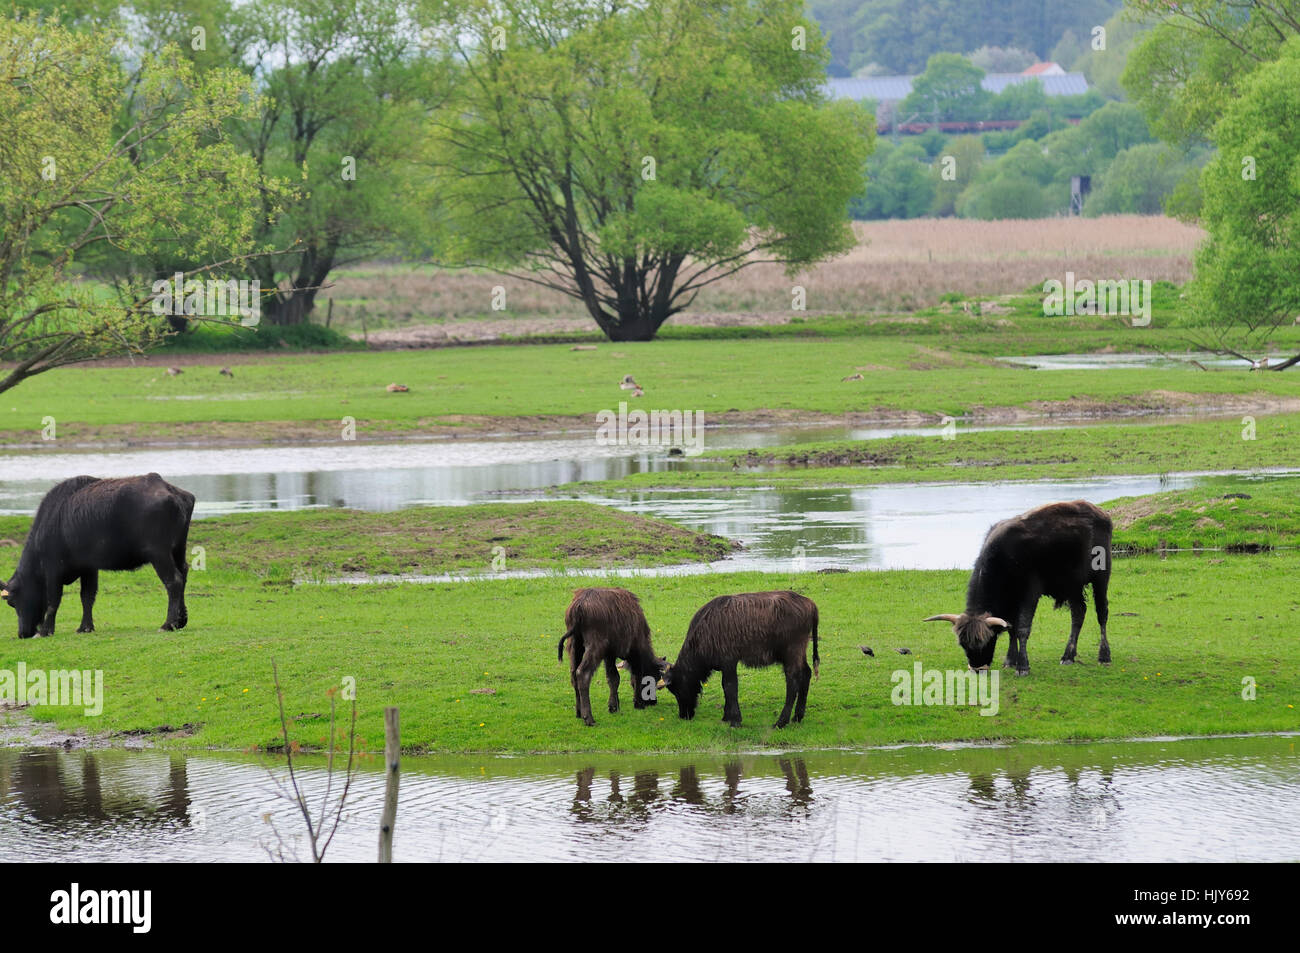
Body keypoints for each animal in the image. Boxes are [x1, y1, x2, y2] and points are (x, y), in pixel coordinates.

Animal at [1, 474, 196, 639]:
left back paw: (168, 624)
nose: (23, 633)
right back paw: (181, 620)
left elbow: (53, 599)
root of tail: (172, 492)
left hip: (158, 553)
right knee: (184, 573)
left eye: (12, 601)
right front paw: (85, 627)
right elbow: (87, 596)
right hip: (178, 549)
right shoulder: (89, 567)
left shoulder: (52, 568)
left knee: (173, 581)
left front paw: (46, 631)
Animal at [558, 587, 666, 726]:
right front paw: (638, 703)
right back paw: (588, 718)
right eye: (655, 677)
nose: (653, 701)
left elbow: (613, 678)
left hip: (575, 646)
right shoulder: (635, 652)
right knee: (582, 673)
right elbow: (636, 675)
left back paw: (579, 712)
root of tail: (579, 605)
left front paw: (614, 706)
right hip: (595, 647)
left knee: (573, 674)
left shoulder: (609, 655)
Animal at [660, 590, 820, 729]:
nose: (683, 715)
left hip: (791, 653)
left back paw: (781, 722)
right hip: (800, 652)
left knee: (792, 682)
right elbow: (725, 688)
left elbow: (730, 687)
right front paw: (726, 716)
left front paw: (735, 720)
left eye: (677, 690)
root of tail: (810, 604)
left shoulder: (729, 661)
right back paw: (797, 716)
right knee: (806, 673)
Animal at [923, 500, 1112, 676]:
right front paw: (1010, 660)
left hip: (1101, 578)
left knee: (1102, 614)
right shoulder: (1011, 600)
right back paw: (1068, 656)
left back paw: (1104, 656)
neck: (1005, 558)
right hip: (1072, 585)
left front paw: (1023, 666)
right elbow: (1011, 628)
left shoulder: (1030, 594)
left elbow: (1022, 629)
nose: (977, 669)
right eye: (963, 644)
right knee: (1078, 613)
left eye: (984, 641)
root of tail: (1100, 513)